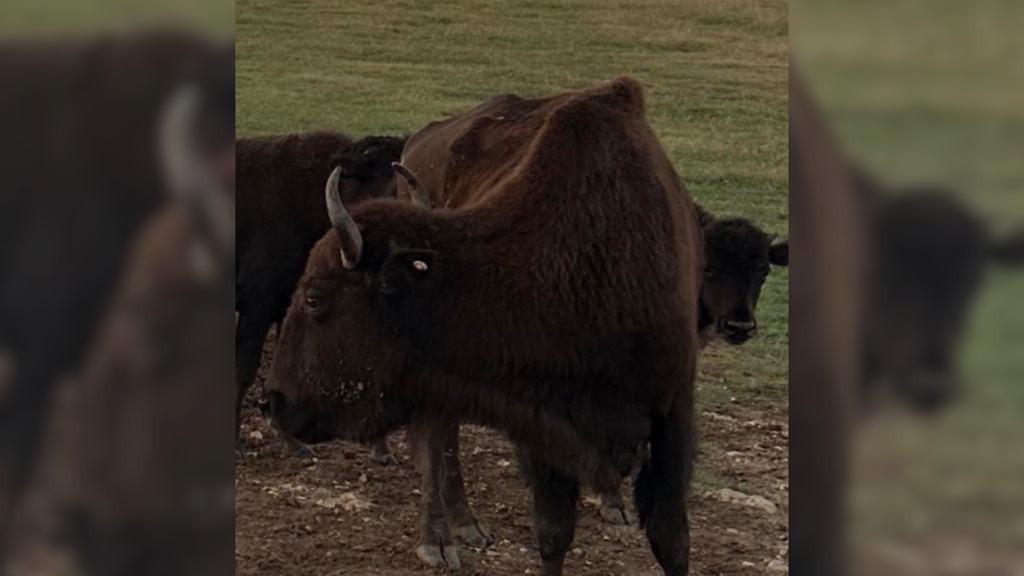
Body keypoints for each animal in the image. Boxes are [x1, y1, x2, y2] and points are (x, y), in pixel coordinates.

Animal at [266, 78, 702, 576]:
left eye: (314, 298)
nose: (277, 400)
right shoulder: (541, 426)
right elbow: (554, 532)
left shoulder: (672, 414)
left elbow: (671, 539)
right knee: (440, 442)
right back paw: (442, 537)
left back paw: (463, 525)